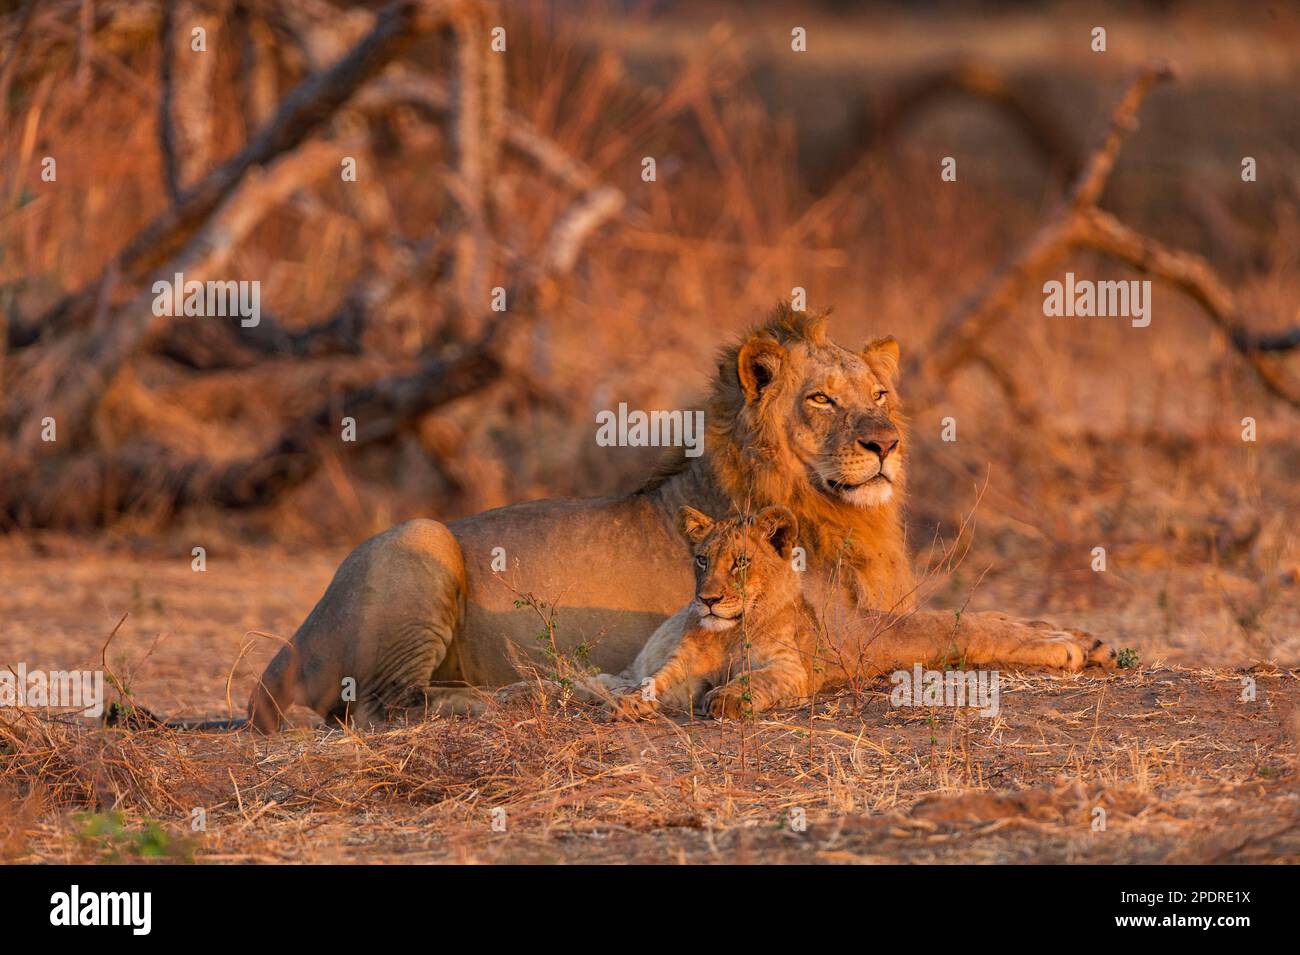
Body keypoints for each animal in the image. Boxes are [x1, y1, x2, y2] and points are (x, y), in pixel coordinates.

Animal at [245, 303, 1114, 732]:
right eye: (821, 400)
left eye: (880, 394)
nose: (886, 443)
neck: (839, 512)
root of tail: (284, 653)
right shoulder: (842, 637)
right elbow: (954, 625)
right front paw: (1069, 645)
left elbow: (977, 610)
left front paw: (1080, 634)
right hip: (418, 537)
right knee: (384, 705)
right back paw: (519, 696)